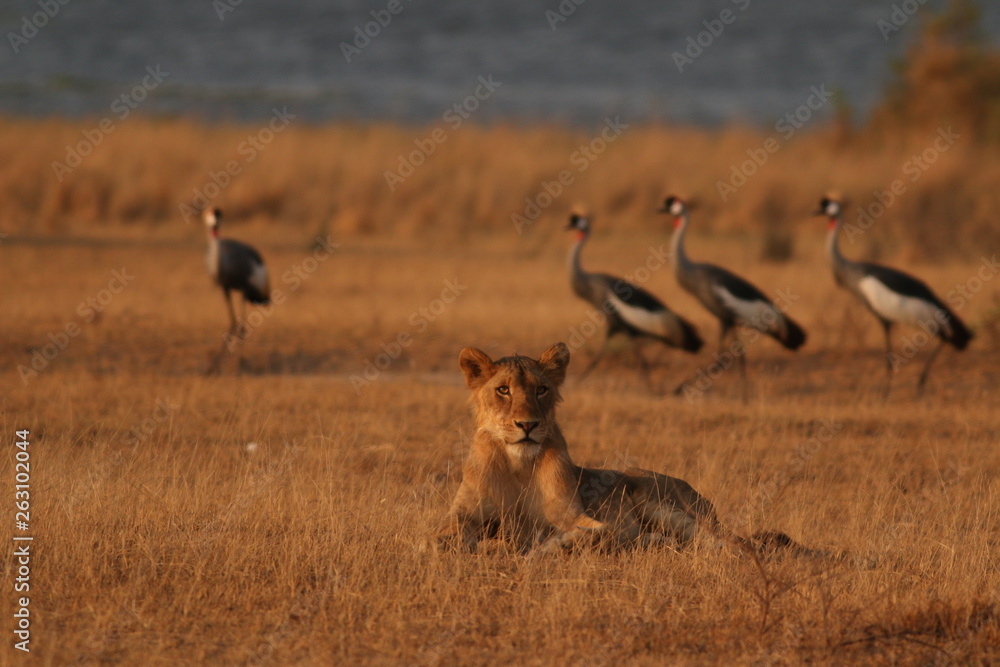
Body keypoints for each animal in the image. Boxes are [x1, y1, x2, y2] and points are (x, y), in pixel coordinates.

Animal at [433, 342, 832, 558]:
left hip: (661, 502)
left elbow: (585, 533)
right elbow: (440, 539)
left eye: (541, 390)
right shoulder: (460, 515)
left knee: (730, 543)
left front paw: (526, 547)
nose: (528, 425)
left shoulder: (576, 516)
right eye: (503, 390)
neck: (517, 464)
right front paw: (489, 543)